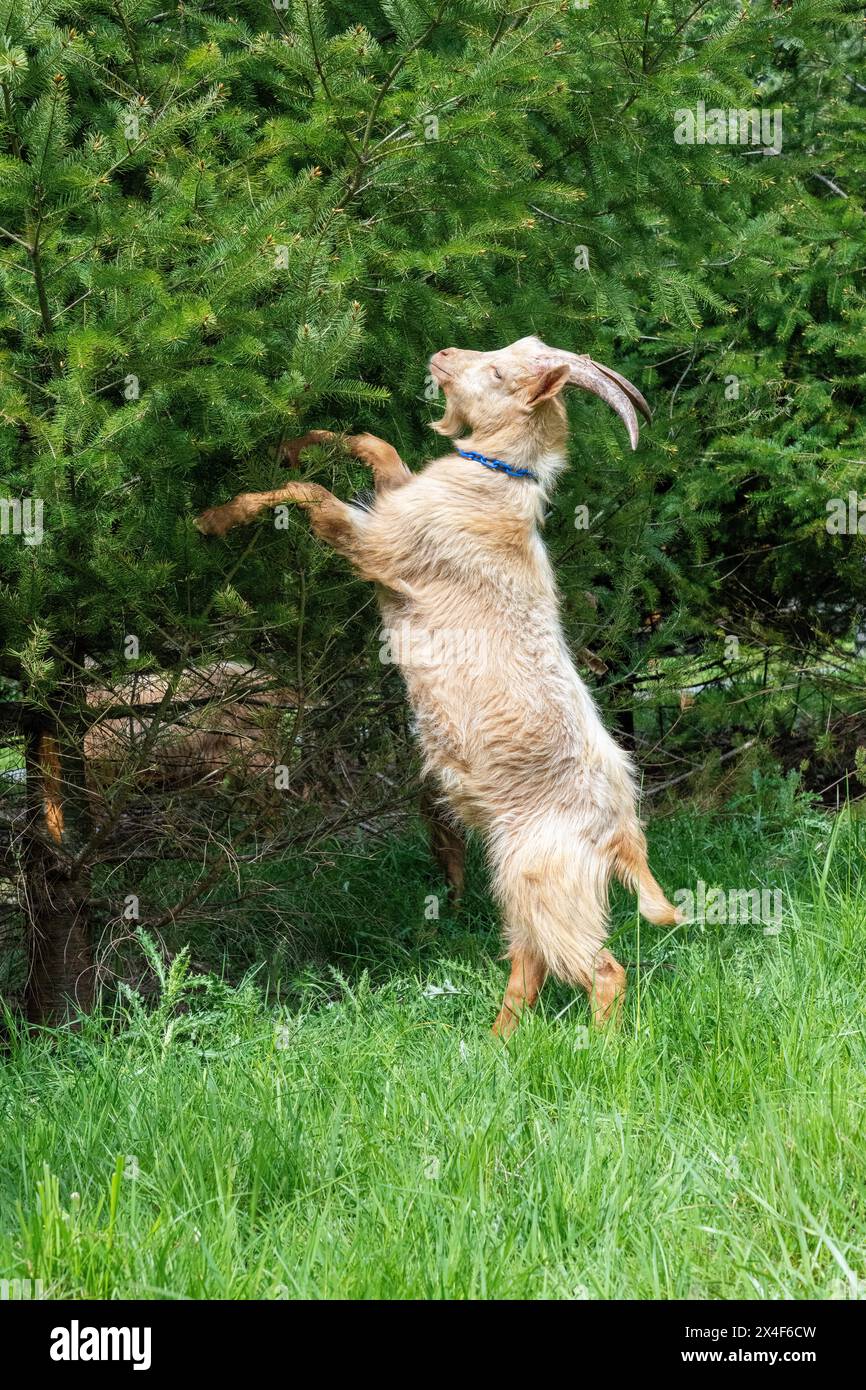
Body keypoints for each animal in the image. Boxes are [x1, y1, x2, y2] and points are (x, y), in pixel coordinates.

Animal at [196, 336, 682, 1036]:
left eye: (501, 371)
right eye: (509, 349)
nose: (444, 353)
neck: (492, 487)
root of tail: (621, 834)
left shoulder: (381, 546)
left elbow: (312, 494)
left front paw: (214, 518)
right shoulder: (393, 503)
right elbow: (376, 446)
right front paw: (294, 442)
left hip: (545, 876)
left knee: (600, 969)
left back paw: (598, 1046)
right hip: (518, 879)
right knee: (528, 963)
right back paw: (497, 1045)